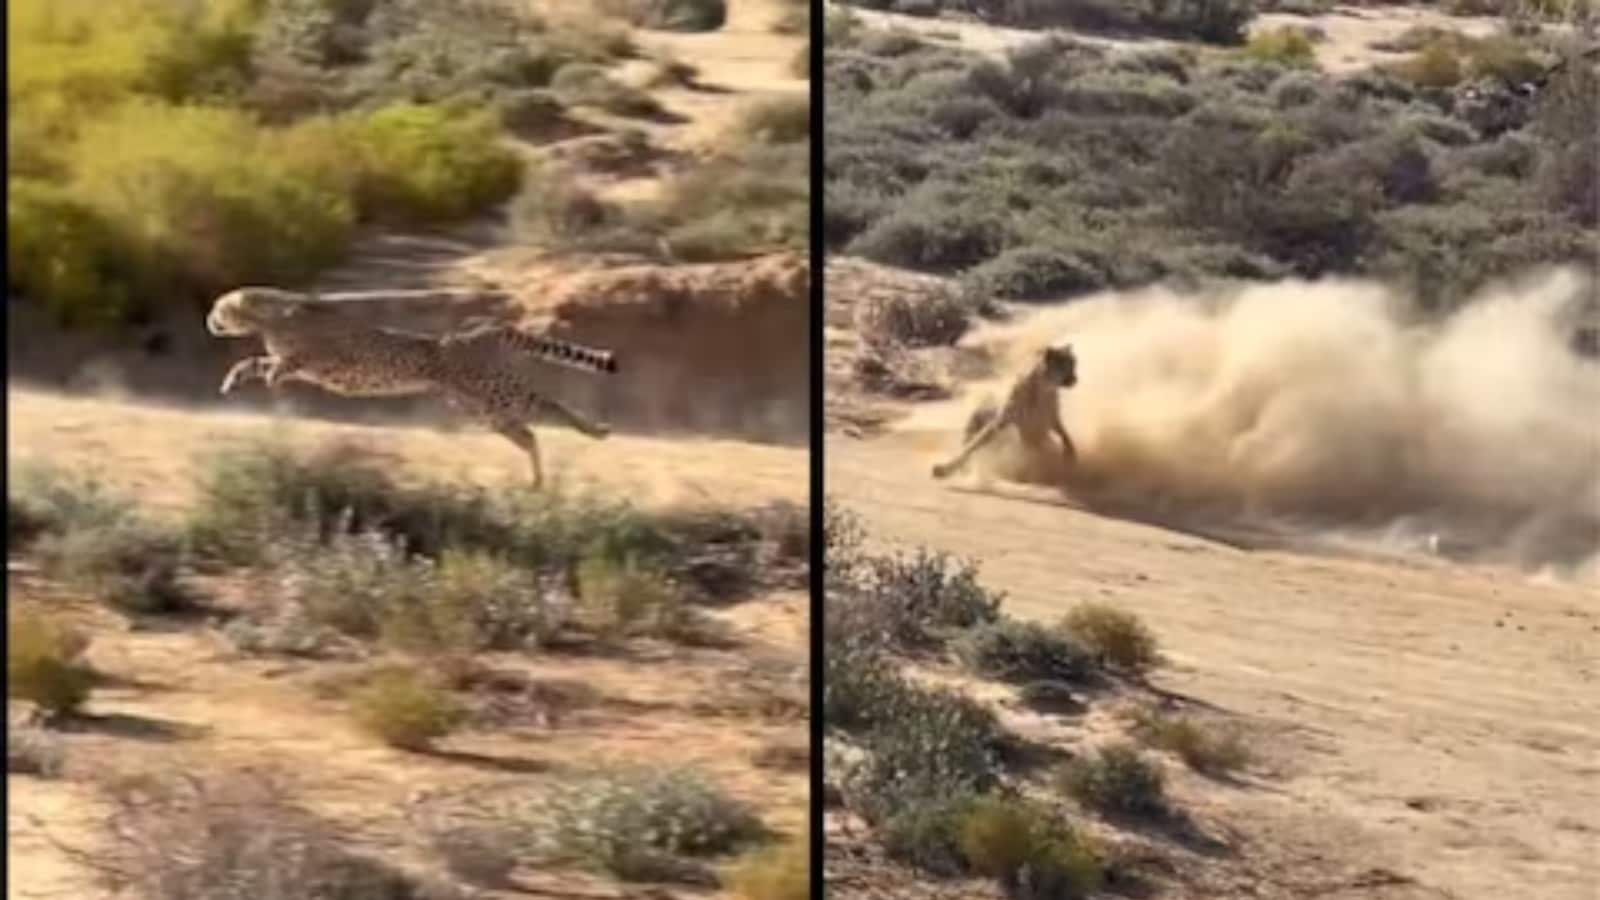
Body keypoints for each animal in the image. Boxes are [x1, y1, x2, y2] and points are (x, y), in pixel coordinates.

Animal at [206, 286, 618, 487]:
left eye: (218, 307)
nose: (210, 319)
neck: (268, 316)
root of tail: (480, 329)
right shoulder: (300, 363)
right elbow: (252, 363)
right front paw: (231, 381)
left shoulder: (323, 359)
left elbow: (282, 363)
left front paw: (267, 378)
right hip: (480, 407)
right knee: (529, 433)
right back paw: (537, 479)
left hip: (494, 392)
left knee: (548, 404)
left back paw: (594, 430)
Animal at [931, 342, 1078, 481]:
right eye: (1064, 365)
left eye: (1073, 364)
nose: (1075, 379)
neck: (1044, 388)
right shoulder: (1008, 424)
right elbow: (973, 446)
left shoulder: (1050, 419)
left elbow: (1063, 436)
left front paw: (1069, 452)